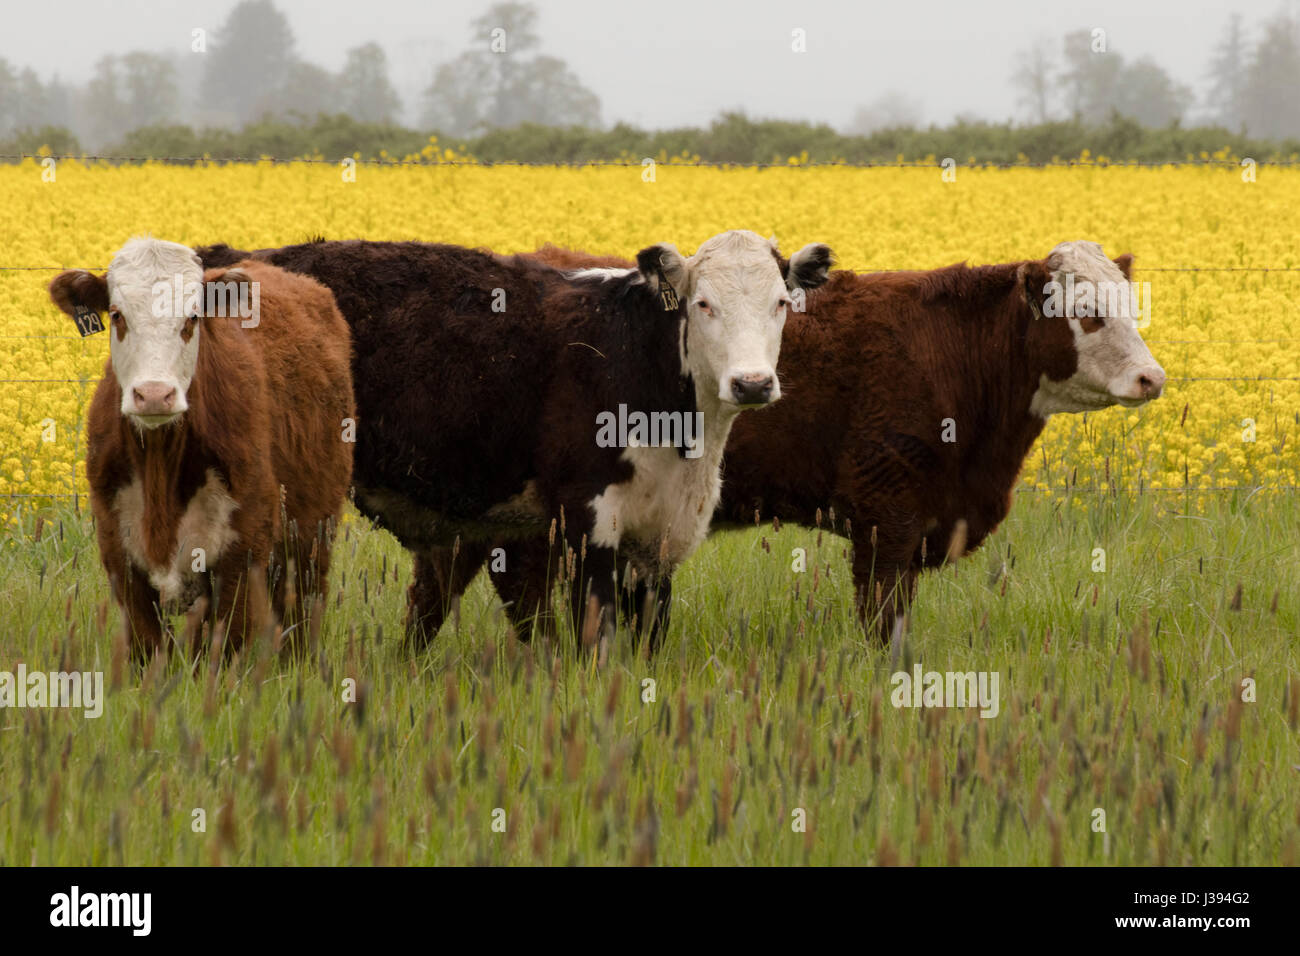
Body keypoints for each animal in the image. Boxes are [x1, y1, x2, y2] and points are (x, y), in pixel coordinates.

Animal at [48, 238, 355, 661]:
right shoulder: (119, 552)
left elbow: (219, 651)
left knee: (301, 610)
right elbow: (149, 648)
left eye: (192, 317)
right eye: (116, 315)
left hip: (311, 537)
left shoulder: (242, 553)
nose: (154, 394)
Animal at [196, 231, 834, 656]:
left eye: (781, 303)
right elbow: (596, 640)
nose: (752, 383)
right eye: (704, 304)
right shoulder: (587, 517)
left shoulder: (658, 540)